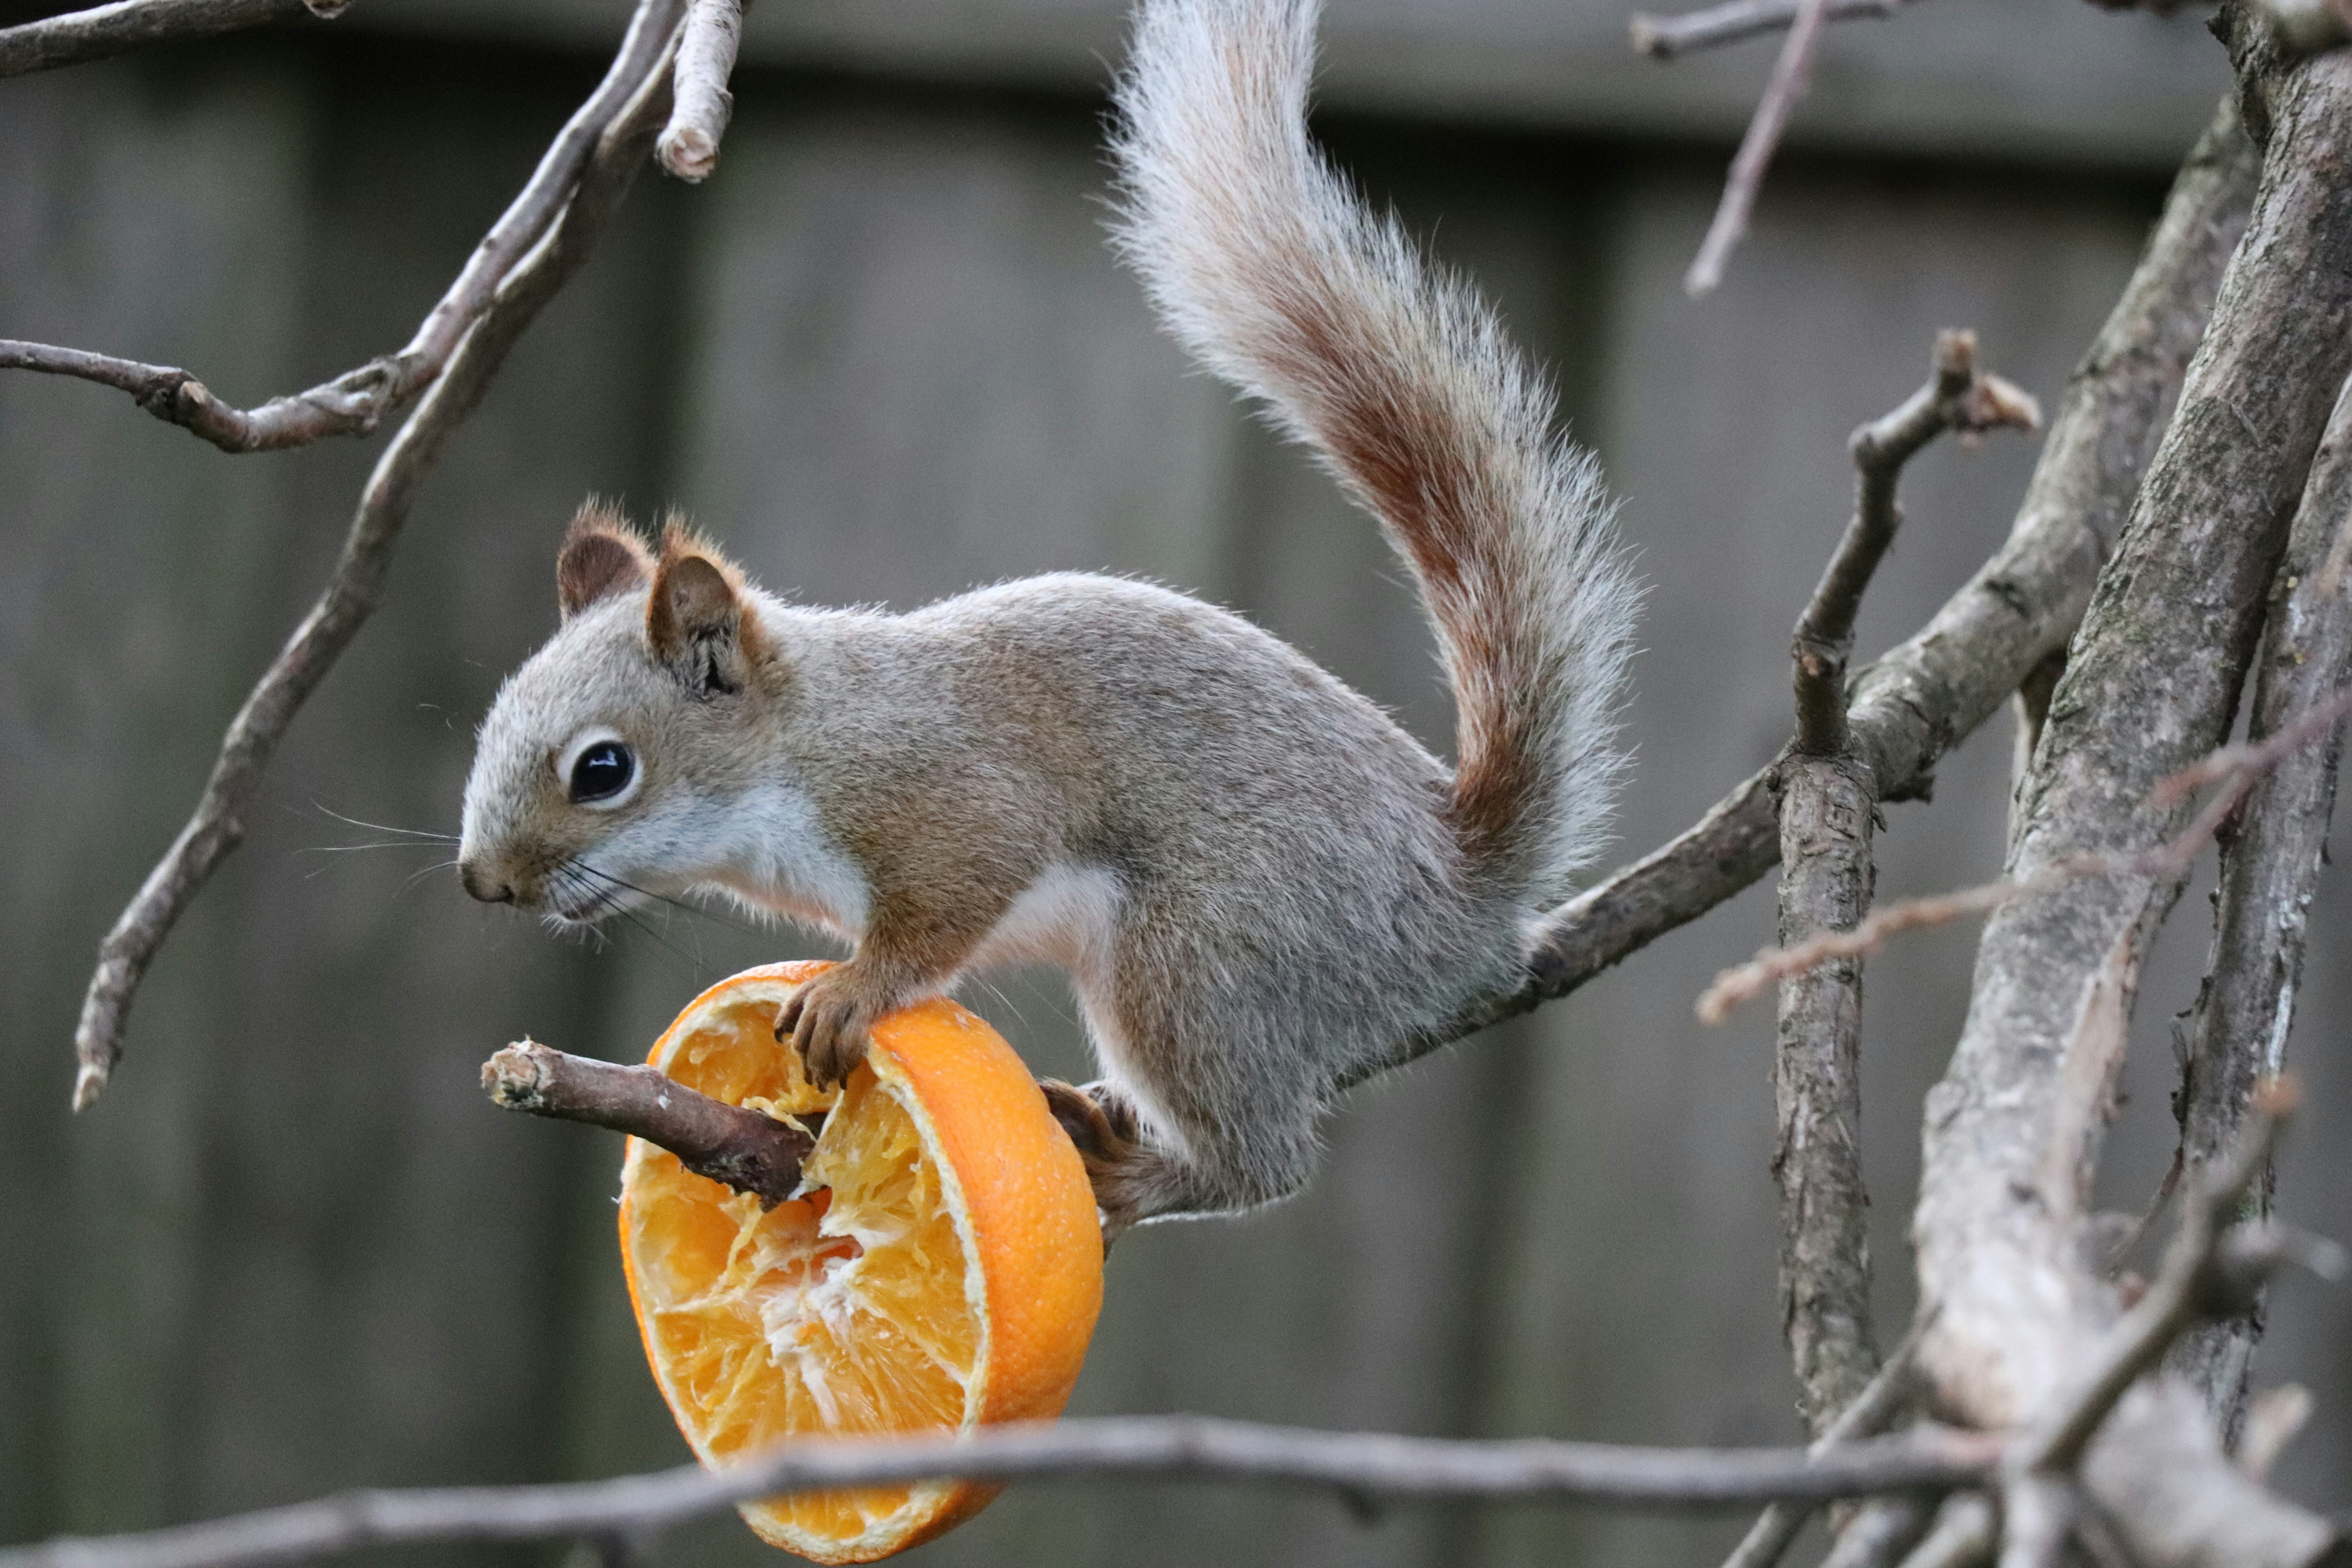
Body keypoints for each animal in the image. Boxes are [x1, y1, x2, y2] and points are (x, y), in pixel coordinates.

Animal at [456, 0, 1637, 1240]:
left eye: (602, 770)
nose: (485, 882)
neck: (804, 746)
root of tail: (1466, 901)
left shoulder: (949, 800)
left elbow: (947, 904)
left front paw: (856, 990)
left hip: (1199, 963)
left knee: (1264, 1164)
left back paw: (1143, 1174)